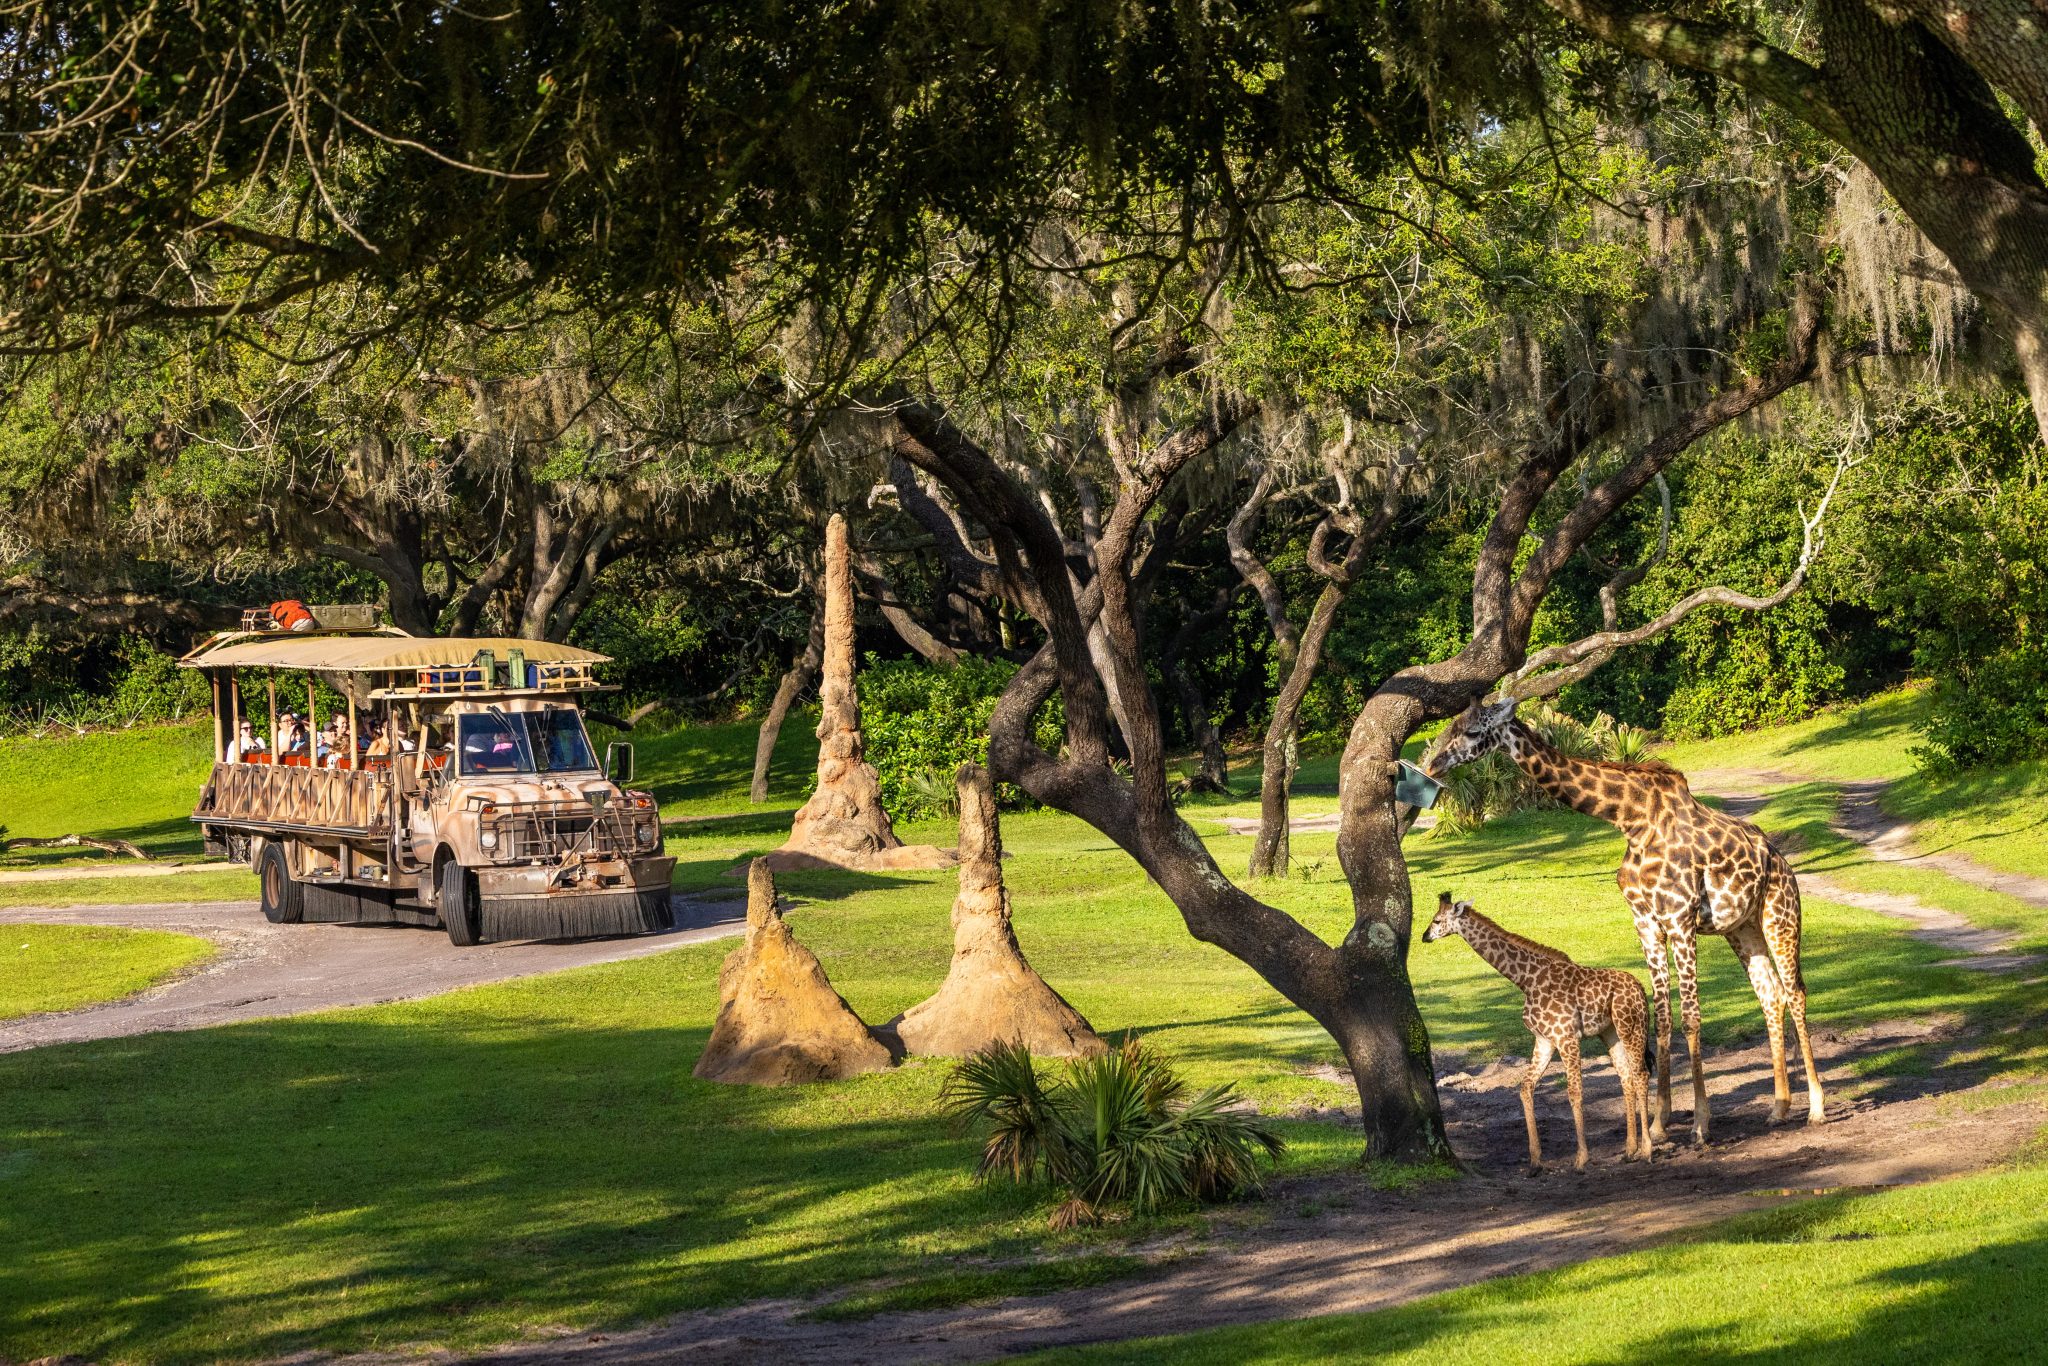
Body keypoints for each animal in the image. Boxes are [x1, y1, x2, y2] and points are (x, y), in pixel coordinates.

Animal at [1423, 892, 1654, 1170]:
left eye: (1436, 920)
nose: (1424, 936)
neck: (1526, 980)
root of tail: (1641, 988)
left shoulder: (1567, 1038)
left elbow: (1574, 1092)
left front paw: (1581, 1158)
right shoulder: (1544, 1040)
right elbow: (1525, 1088)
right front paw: (1535, 1160)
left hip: (1631, 1026)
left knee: (1641, 1074)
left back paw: (1647, 1150)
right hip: (1610, 1032)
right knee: (1626, 1077)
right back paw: (1629, 1149)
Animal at [1429, 697, 1825, 1144]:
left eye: (1472, 732)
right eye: (1452, 726)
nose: (1435, 763)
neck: (1629, 819)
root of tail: (1779, 858)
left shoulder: (1680, 917)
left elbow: (1690, 1017)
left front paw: (1700, 1125)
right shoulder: (1646, 922)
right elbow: (1664, 1017)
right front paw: (1658, 1124)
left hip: (1780, 912)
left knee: (1795, 992)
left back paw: (1816, 1108)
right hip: (1742, 927)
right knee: (1770, 996)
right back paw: (1778, 1108)